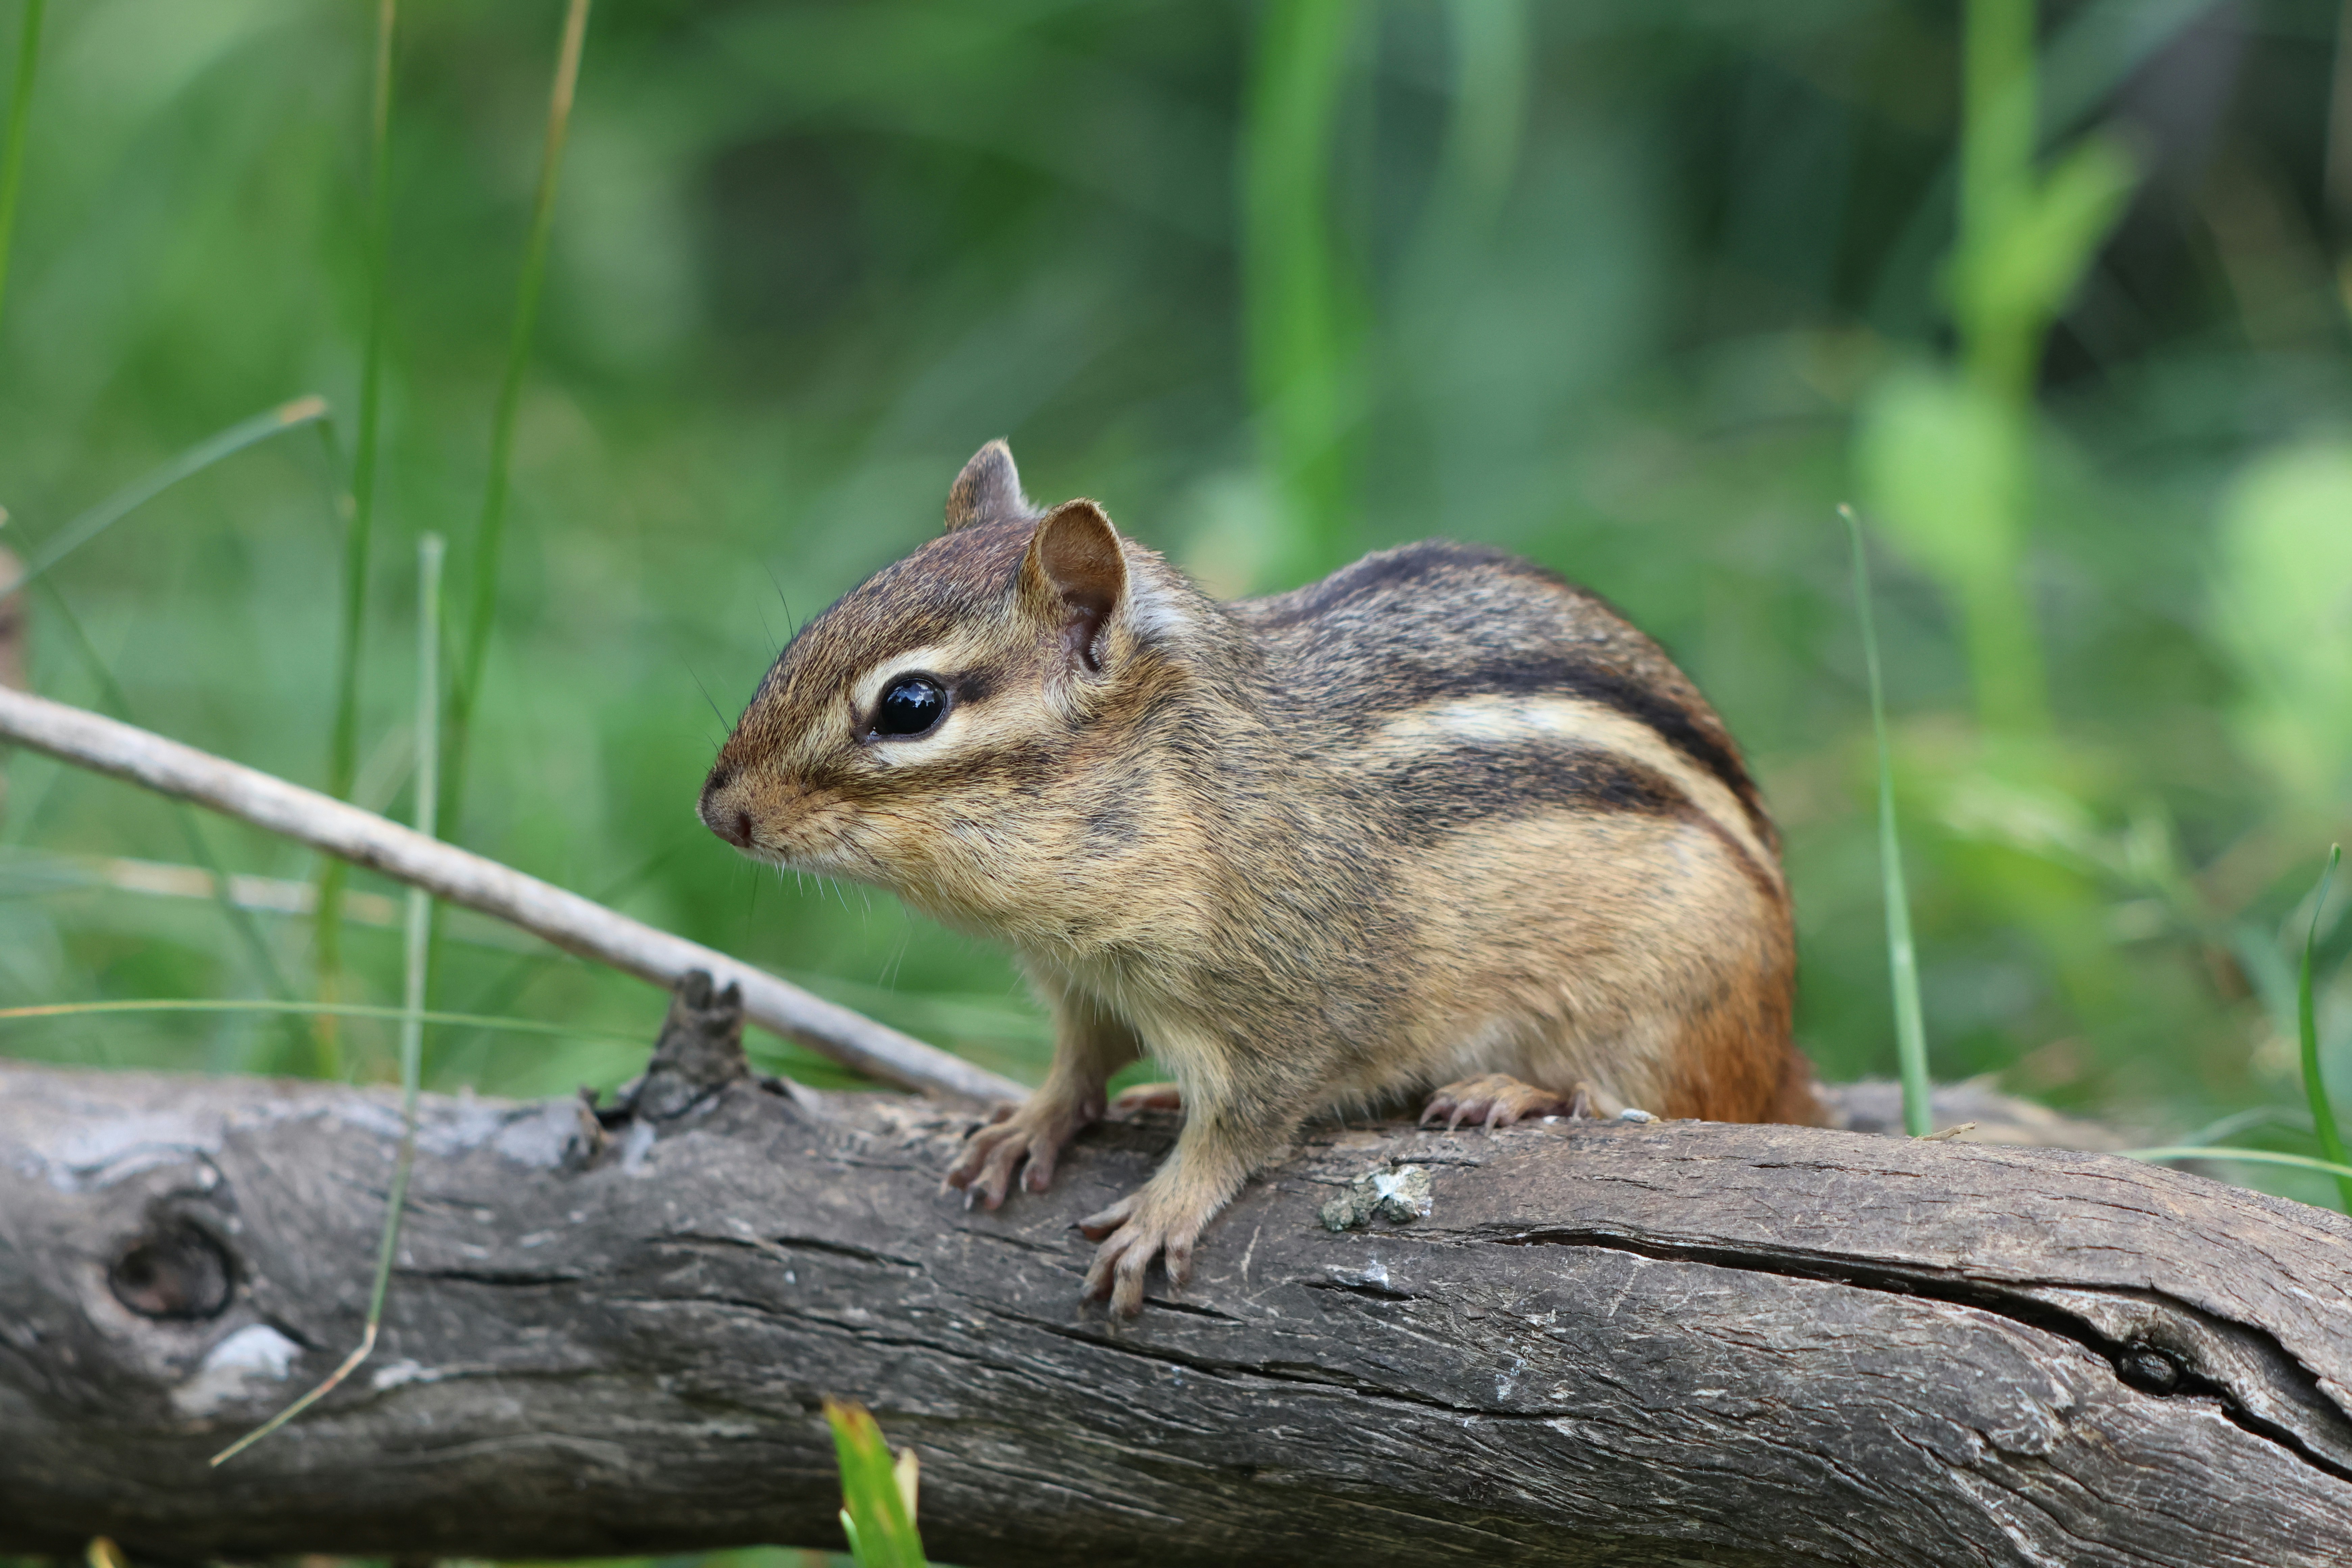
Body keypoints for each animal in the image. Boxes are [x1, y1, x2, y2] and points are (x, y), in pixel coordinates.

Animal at [700, 441, 1820, 1316]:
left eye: (911, 705)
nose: (719, 811)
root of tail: (1780, 1042)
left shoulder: (1299, 1004)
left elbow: (1245, 1124)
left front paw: (1165, 1207)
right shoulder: (1080, 982)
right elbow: (1079, 1060)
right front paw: (1032, 1122)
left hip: (1667, 1009)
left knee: (1661, 1101)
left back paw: (1514, 1090)